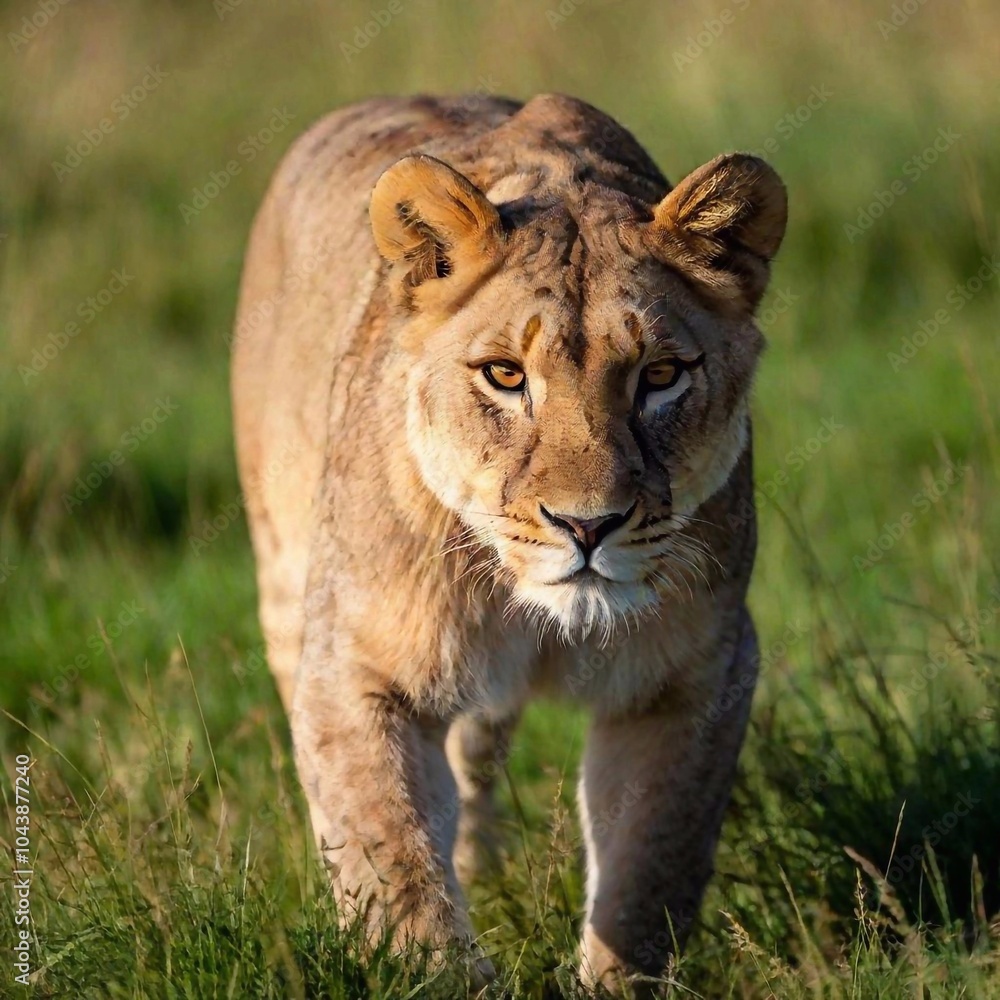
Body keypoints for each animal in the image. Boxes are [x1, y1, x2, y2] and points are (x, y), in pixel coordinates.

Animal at [231, 92, 786, 996]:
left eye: (660, 376)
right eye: (504, 375)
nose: (588, 525)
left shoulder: (693, 675)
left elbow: (650, 865)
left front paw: (614, 979)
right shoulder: (353, 670)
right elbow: (394, 862)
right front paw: (434, 967)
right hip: (283, 578)